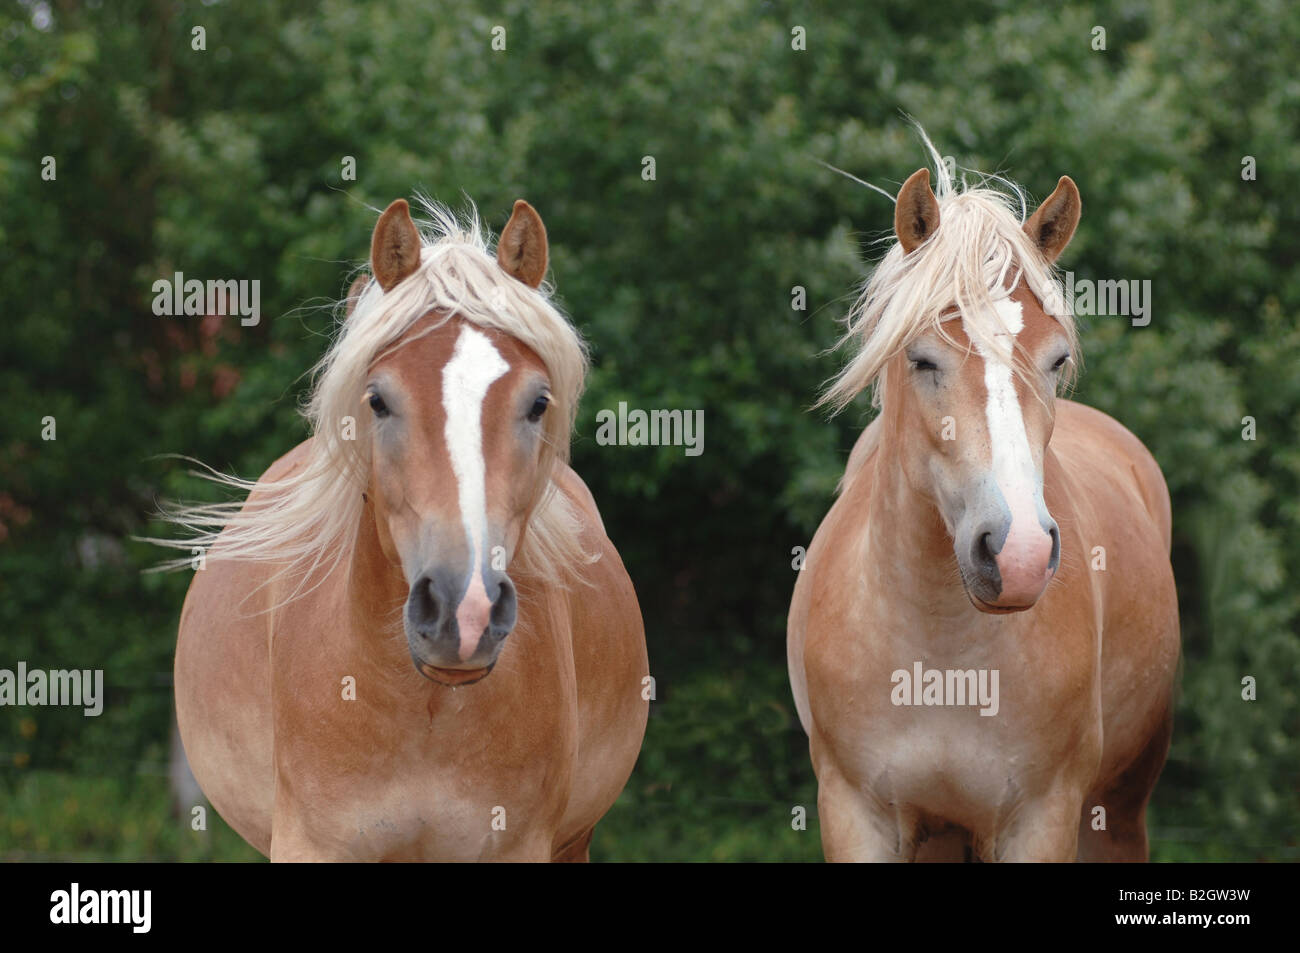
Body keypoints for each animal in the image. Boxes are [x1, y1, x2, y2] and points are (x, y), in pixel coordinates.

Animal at [788, 135, 1180, 862]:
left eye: (1056, 360)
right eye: (922, 359)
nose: (1016, 552)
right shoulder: (855, 813)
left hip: (1118, 810)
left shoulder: (1043, 819)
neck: (943, 653)